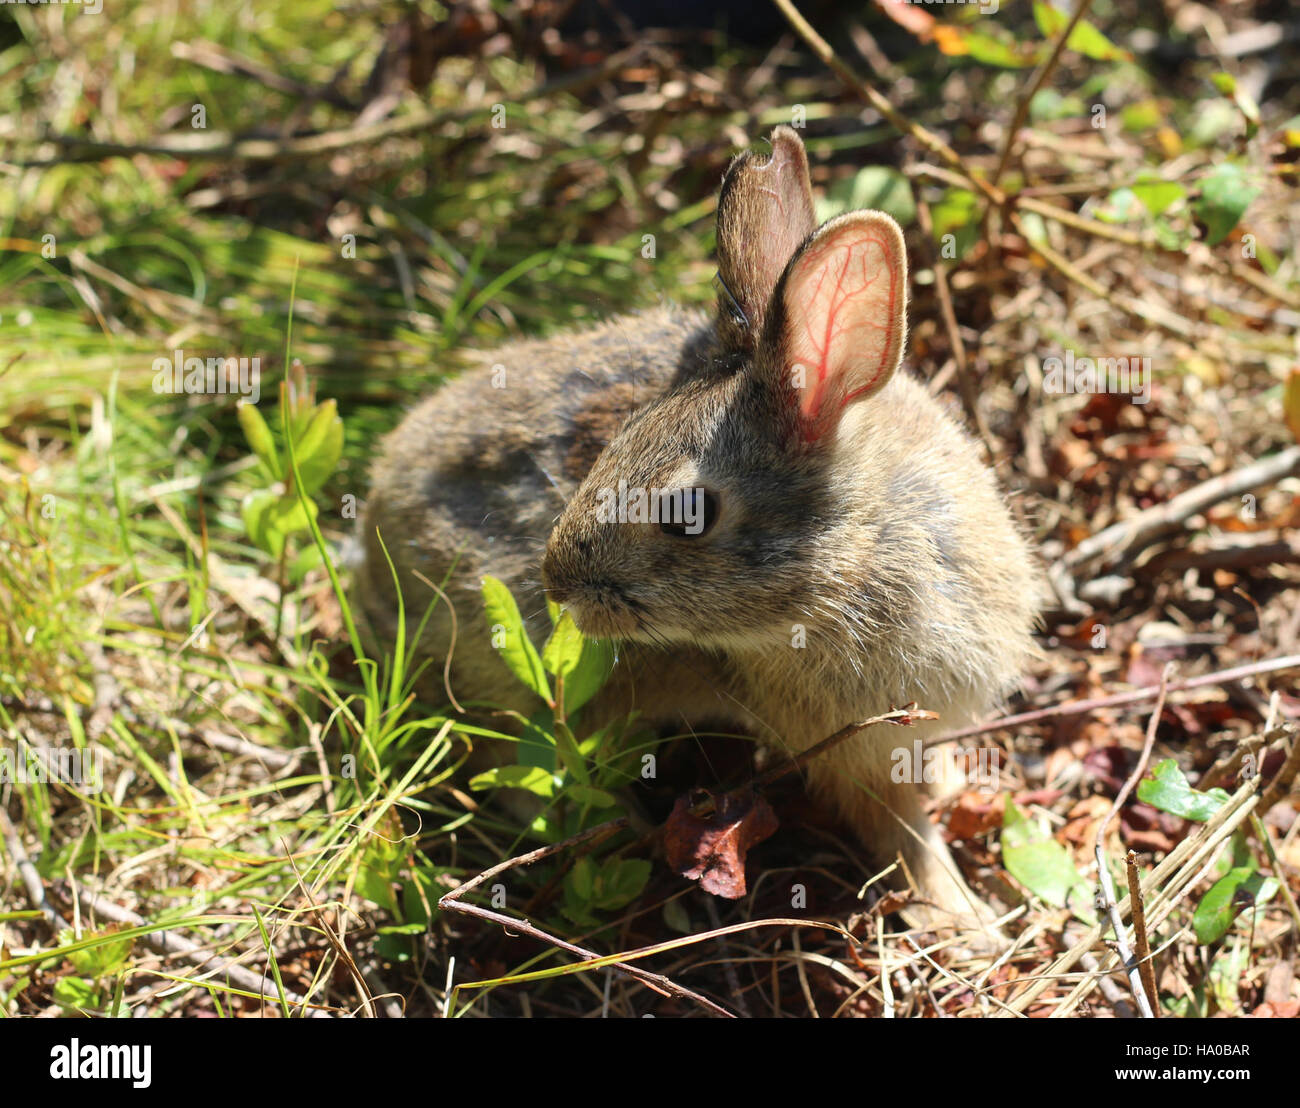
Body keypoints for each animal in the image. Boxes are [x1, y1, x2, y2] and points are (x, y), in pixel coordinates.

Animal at [356, 126, 1043, 938]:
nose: (556, 585)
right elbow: (898, 827)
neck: (868, 545)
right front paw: (962, 918)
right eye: (613, 442)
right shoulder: (848, 745)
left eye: (689, 513)